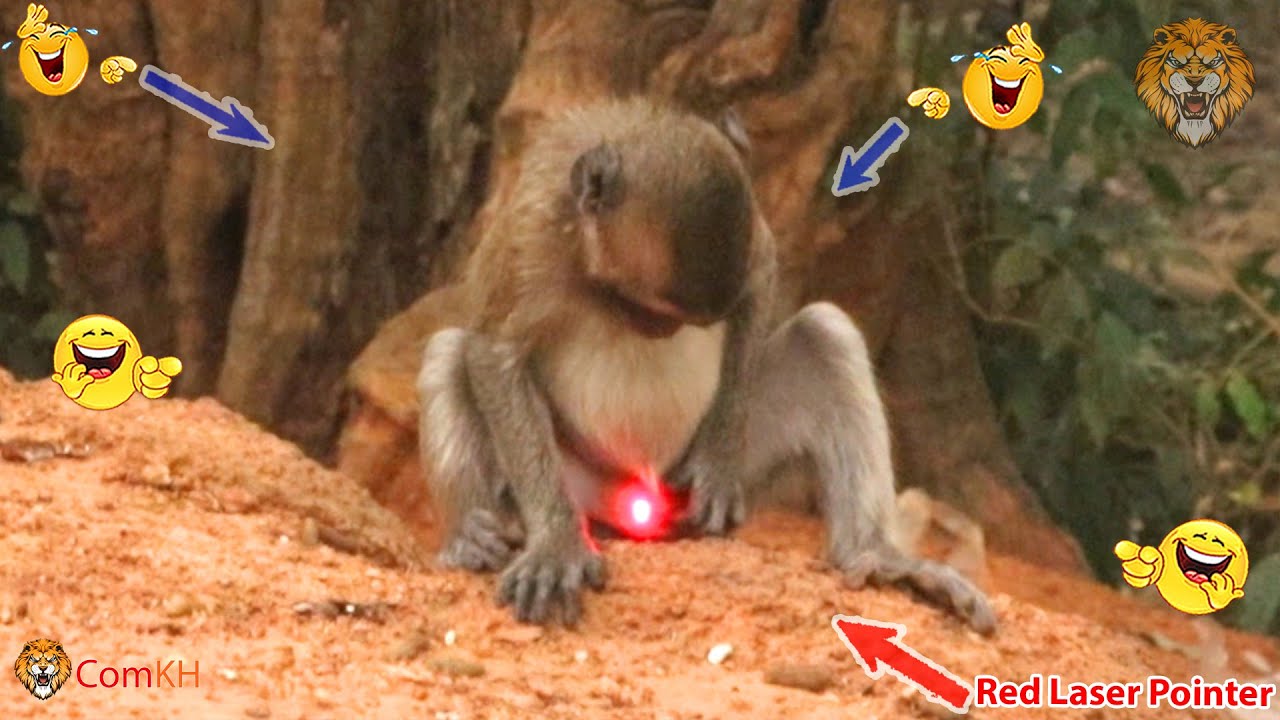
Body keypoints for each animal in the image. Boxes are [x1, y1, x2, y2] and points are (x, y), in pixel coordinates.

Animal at [416, 98, 996, 634]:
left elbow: (761, 275)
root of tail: (635, 500)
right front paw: (555, 544)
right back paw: (470, 536)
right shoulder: (534, 234)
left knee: (824, 334)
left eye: (679, 318)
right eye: (649, 311)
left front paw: (716, 462)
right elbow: (495, 352)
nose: (661, 332)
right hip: (585, 484)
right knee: (449, 353)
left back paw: (876, 553)